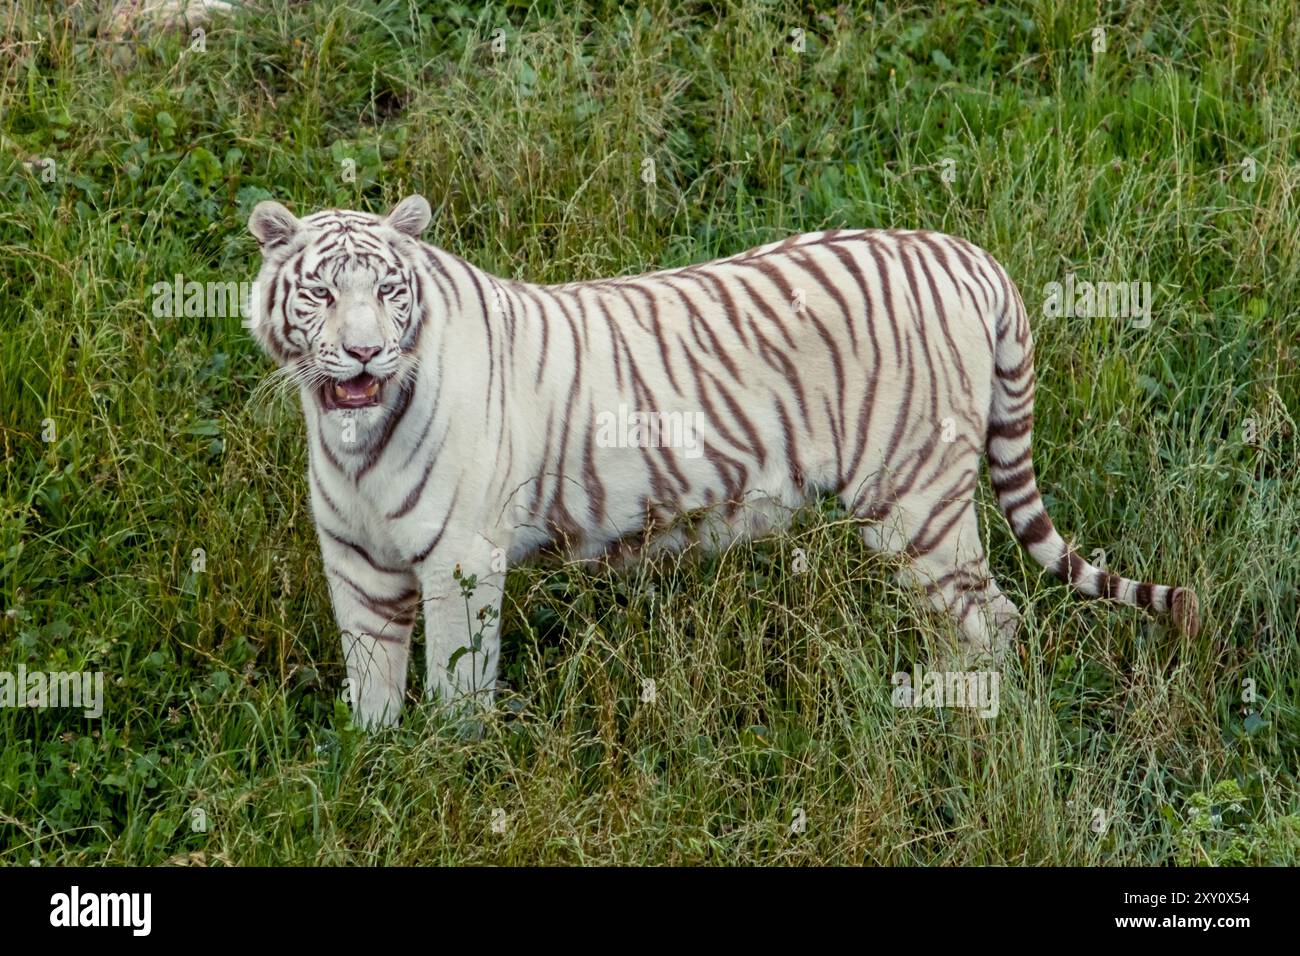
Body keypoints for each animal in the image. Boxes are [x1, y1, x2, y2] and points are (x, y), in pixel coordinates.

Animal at [246, 194, 1201, 729]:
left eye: (388, 291)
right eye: (321, 293)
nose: (364, 353)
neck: (352, 437)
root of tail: (968, 255)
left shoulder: (461, 562)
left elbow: (455, 679)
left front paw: (454, 764)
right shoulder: (356, 562)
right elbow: (371, 680)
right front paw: (374, 763)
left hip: (915, 501)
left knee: (993, 621)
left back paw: (955, 715)